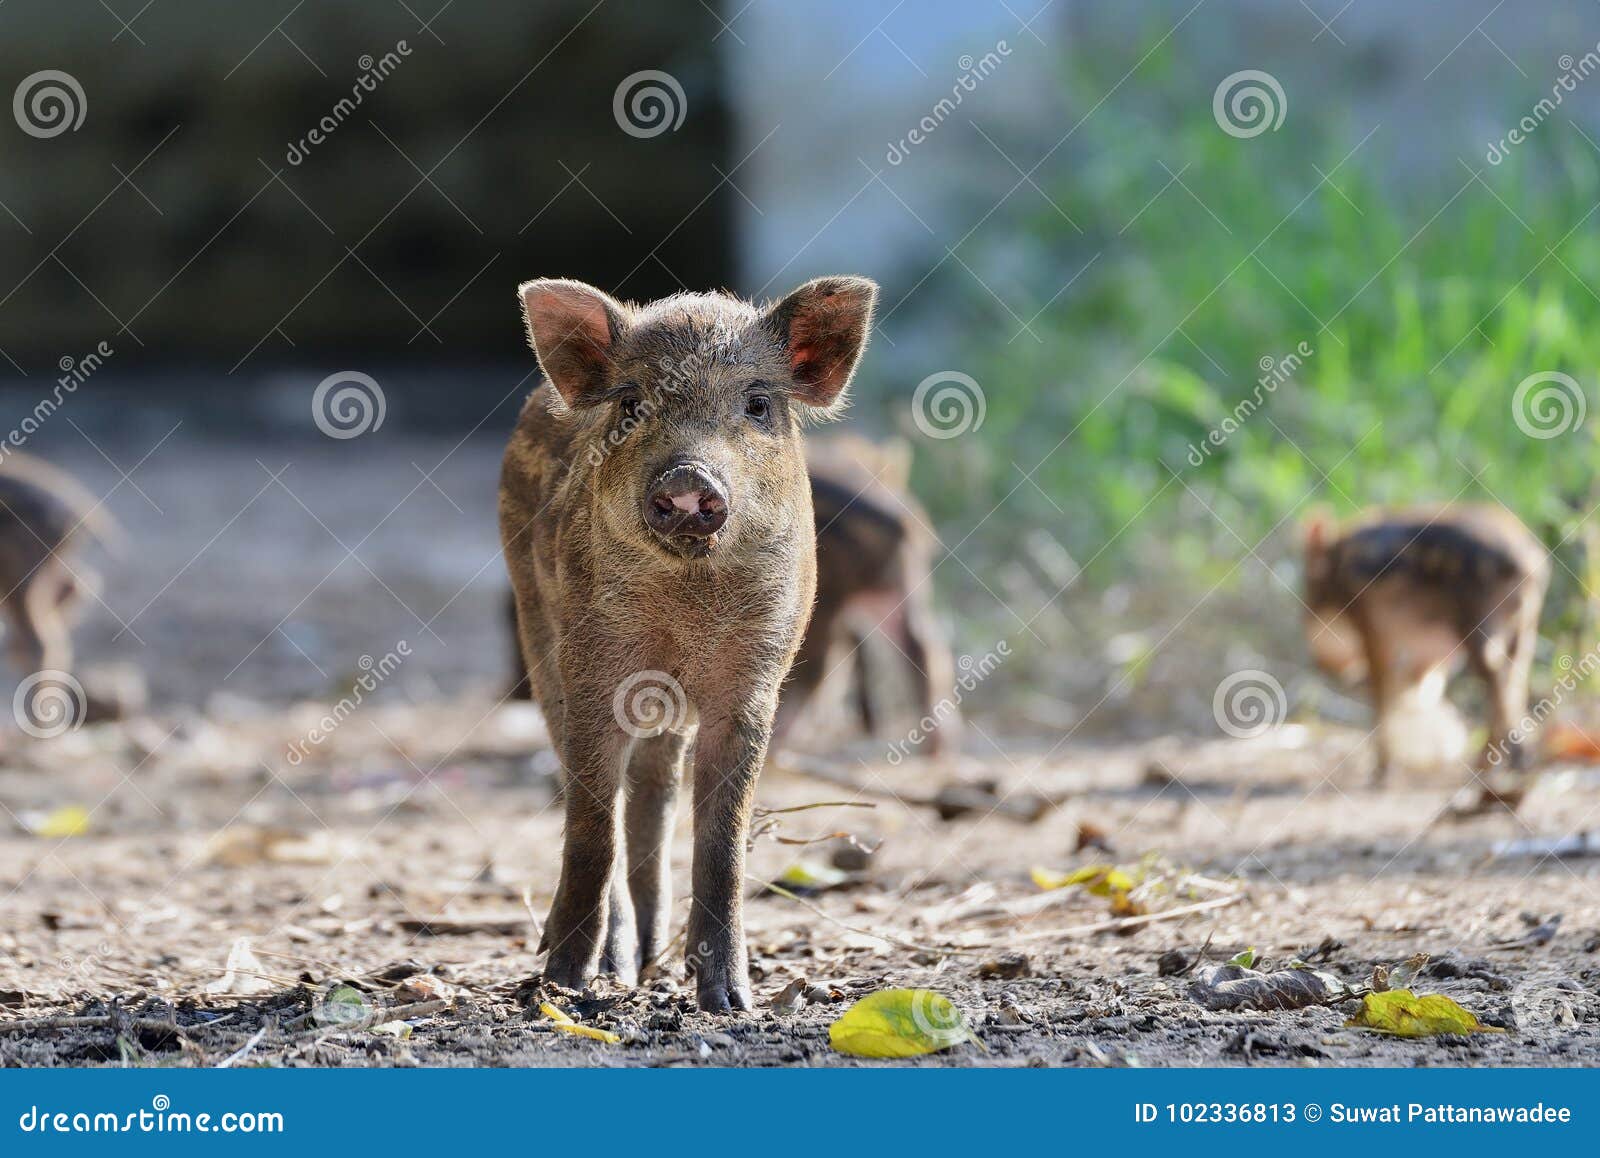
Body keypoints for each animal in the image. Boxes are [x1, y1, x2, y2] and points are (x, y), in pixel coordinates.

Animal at [500, 275, 877, 1010]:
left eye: (757, 403)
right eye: (632, 404)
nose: (687, 479)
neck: (686, 608)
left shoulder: (753, 686)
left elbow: (722, 843)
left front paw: (731, 1002)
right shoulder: (593, 674)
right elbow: (591, 831)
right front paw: (561, 986)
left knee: (655, 792)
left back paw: (651, 960)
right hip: (538, 635)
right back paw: (614, 967)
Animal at [504, 434, 959, 757]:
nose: (513, 693)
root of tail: (901, 517)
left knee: (821, 666)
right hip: (894, 591)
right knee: (925, 647)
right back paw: (934, 749)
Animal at [1302, 504, 1547, 791]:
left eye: (1308, 583)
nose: (1320, 662)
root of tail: (1527, 559)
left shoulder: (1370, 625)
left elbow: (1381, 691)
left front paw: (1381, 777)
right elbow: (1413, 685)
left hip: (1479, 621)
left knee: (1496, 676)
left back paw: (1505, 766)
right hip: (1527, 626)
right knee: (1516, 679)